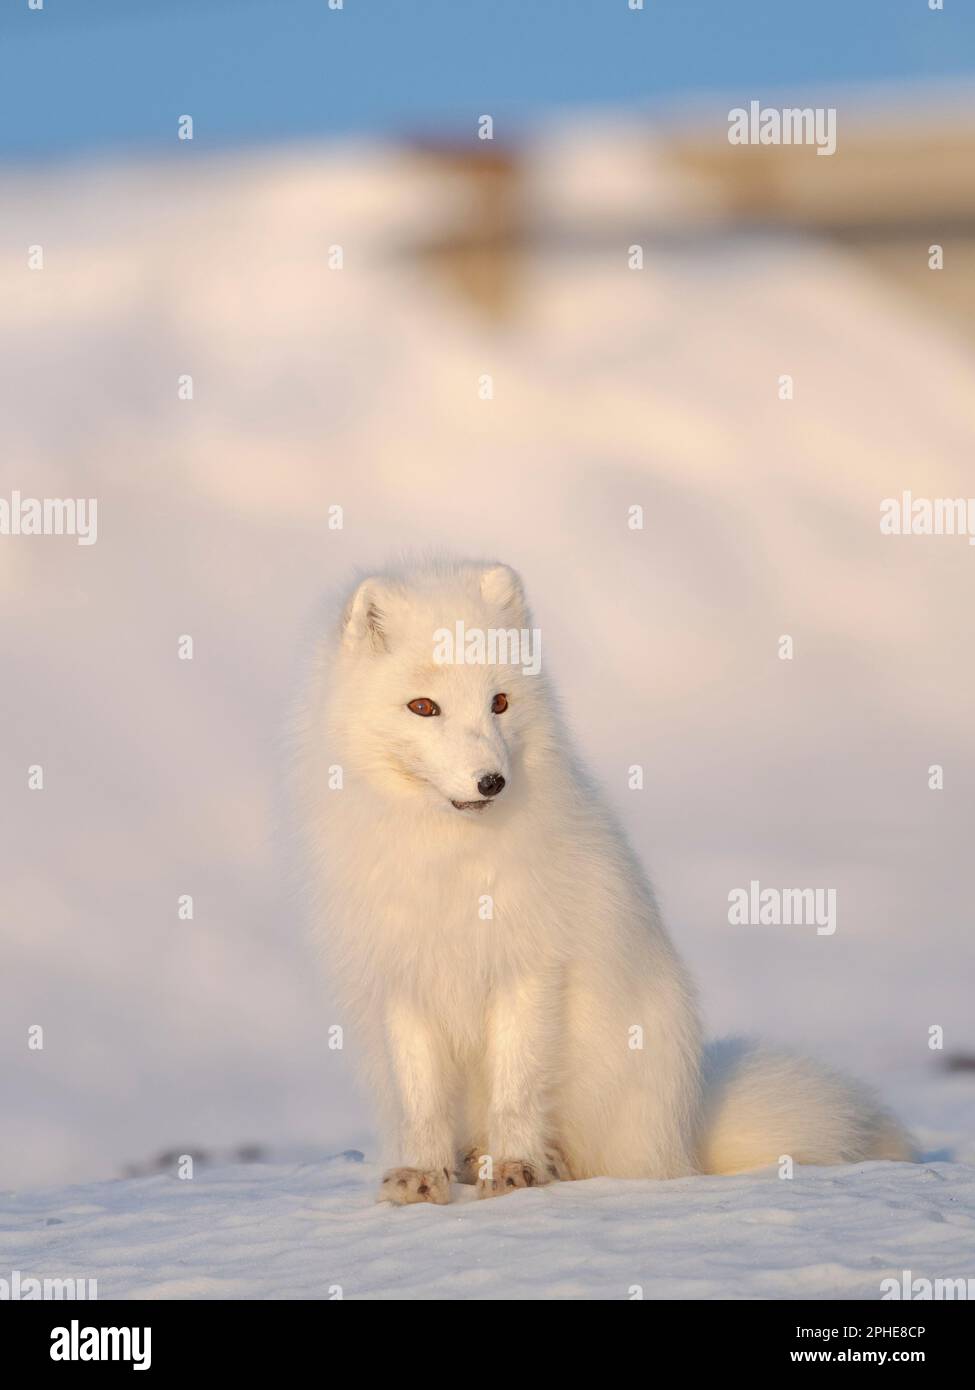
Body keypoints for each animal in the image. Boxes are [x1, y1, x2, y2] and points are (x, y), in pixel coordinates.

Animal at [298, 559, 915, 1204]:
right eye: (423, 707)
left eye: (499, 702)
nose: (492, 781)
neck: (448, 856)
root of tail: (686, 1133)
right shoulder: (403, 978)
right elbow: (422, 1098)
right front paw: (421, 1175)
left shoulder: (530, 966)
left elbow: (517, 1084)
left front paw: (514, 1168)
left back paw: (540, 1164)